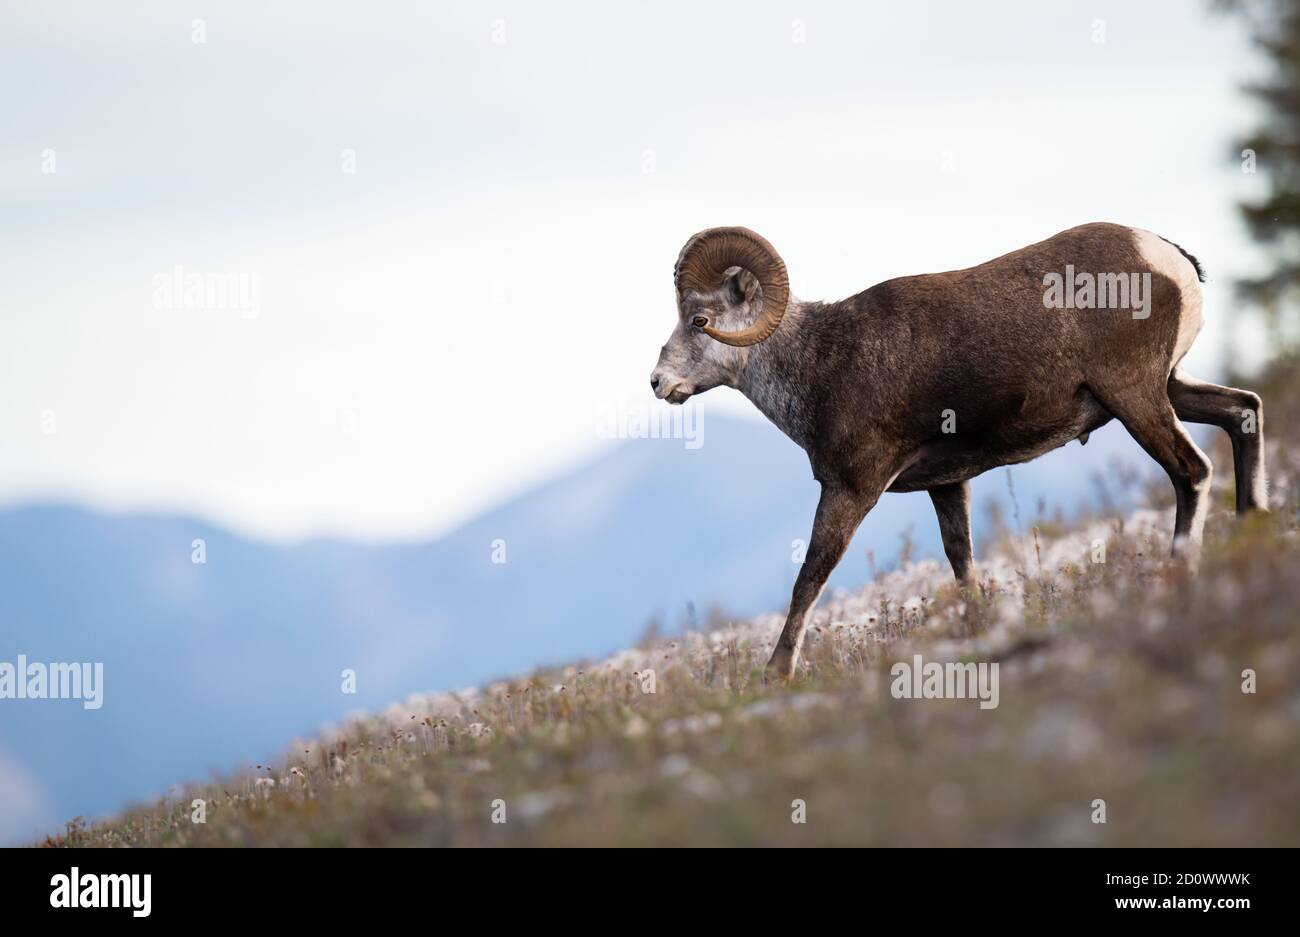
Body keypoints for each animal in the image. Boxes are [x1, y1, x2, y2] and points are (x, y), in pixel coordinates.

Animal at [650, 224, 1267, 679]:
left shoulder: (852, 489)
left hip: (1137, 397)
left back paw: (1182, 570)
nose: (658, 383)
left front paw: (777, 674)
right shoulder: (947, 484)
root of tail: (1167, 256)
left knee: (1191, 471)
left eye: (701, 320)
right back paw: (1252, 525)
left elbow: (810, 576)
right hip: (1171, 389)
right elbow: (961, 562)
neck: (821, 364)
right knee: (1245, 412)